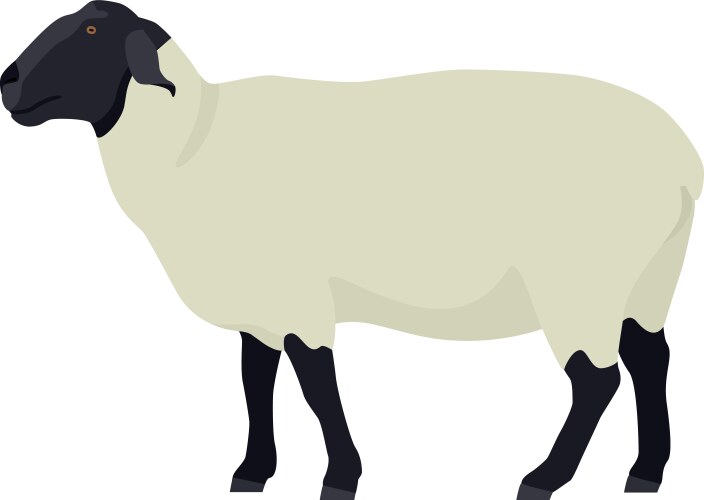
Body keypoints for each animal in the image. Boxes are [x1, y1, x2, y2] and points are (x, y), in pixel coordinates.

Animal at [1, 2, 702, 499]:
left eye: (93, 30)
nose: (7, 84)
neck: (194, 144)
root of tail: (683, 160)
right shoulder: (259, 303)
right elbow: (255, 380)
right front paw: (252, 473)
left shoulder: (301, 296)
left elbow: (315, 382)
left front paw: (340, 478)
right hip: (648, 279)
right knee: (652, 359)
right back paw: (647, 473)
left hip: (581, 283)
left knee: (597, 378)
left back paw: (542, 479)